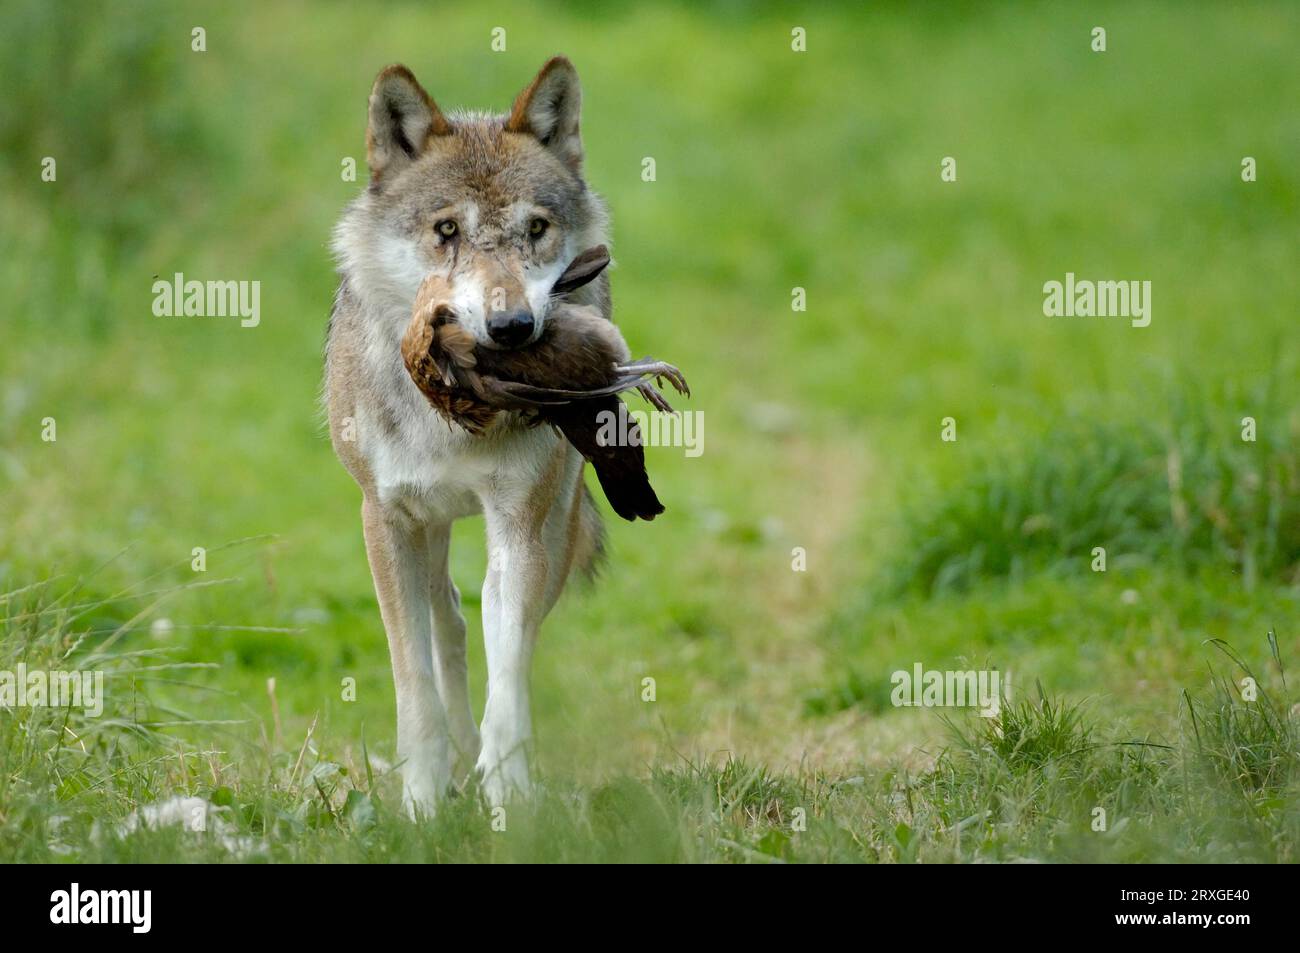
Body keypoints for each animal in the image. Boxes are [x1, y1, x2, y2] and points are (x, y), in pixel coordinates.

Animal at [325, 57, 614, 815]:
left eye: (536, 228)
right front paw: (424, 802)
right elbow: (414, 683)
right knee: (447, 621)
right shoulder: (385, 519)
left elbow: (508, 673)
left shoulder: (517, 524)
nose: (511, 329)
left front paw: (510, 795)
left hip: (553, 529)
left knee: (490, 623)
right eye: (447, 229)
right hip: (428, 528)